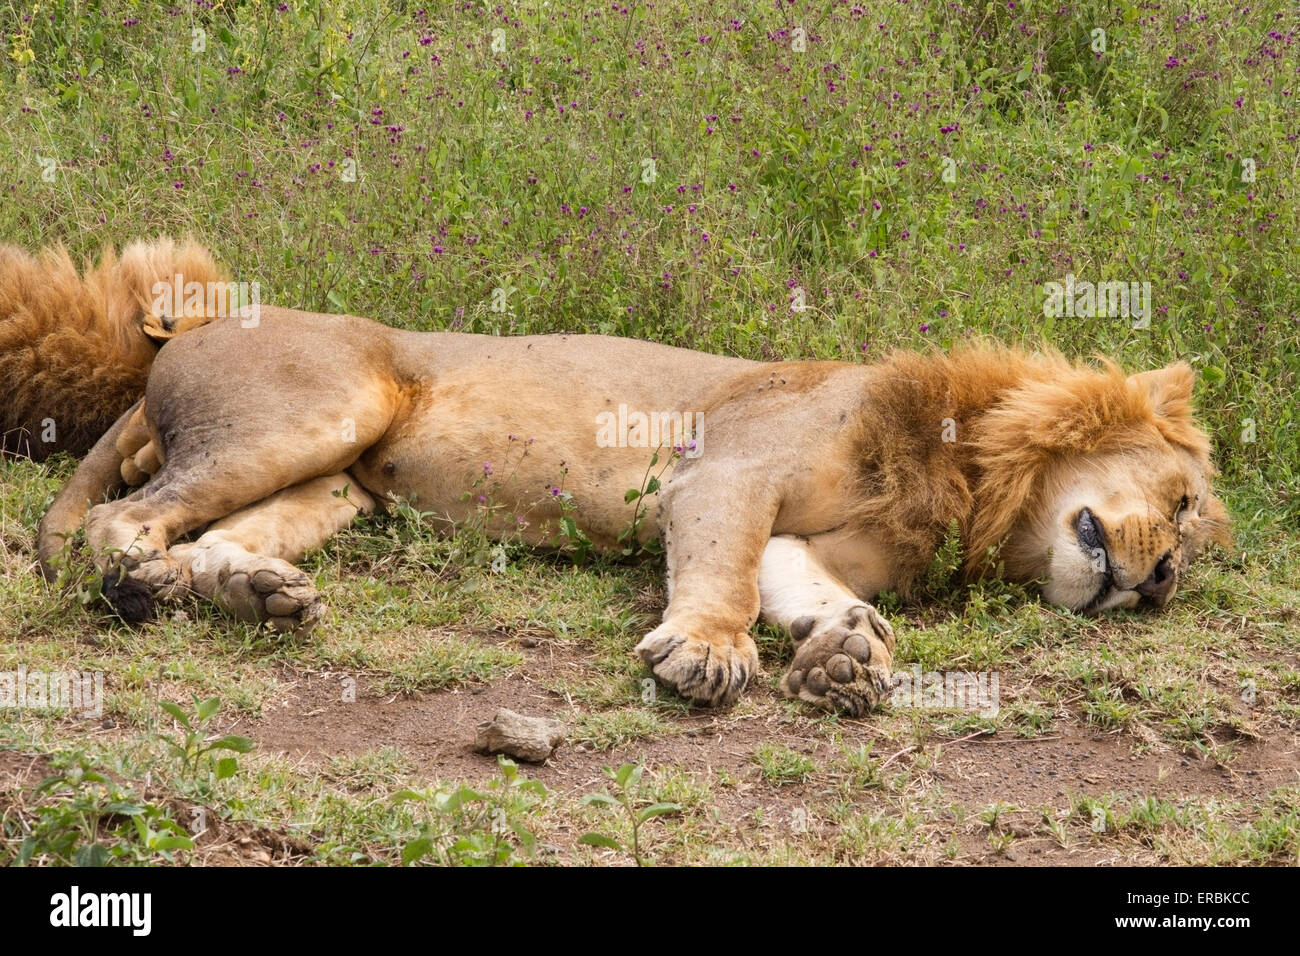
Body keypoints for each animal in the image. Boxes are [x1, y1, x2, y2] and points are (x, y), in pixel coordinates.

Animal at [36, 307, 1231, 715]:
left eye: (1190, 543)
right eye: (1180, 503)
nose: (1161, 582)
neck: (975, 484)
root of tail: (189, 329)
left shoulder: (808, 536)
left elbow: (793, 583)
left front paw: (847, 656)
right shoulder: (723, 472)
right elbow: (725, 577)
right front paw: (706, 654)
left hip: (338, 485)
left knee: (220, 535)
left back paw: (257, 591)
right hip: (325, 407)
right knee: (123, 523)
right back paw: (141, 585)